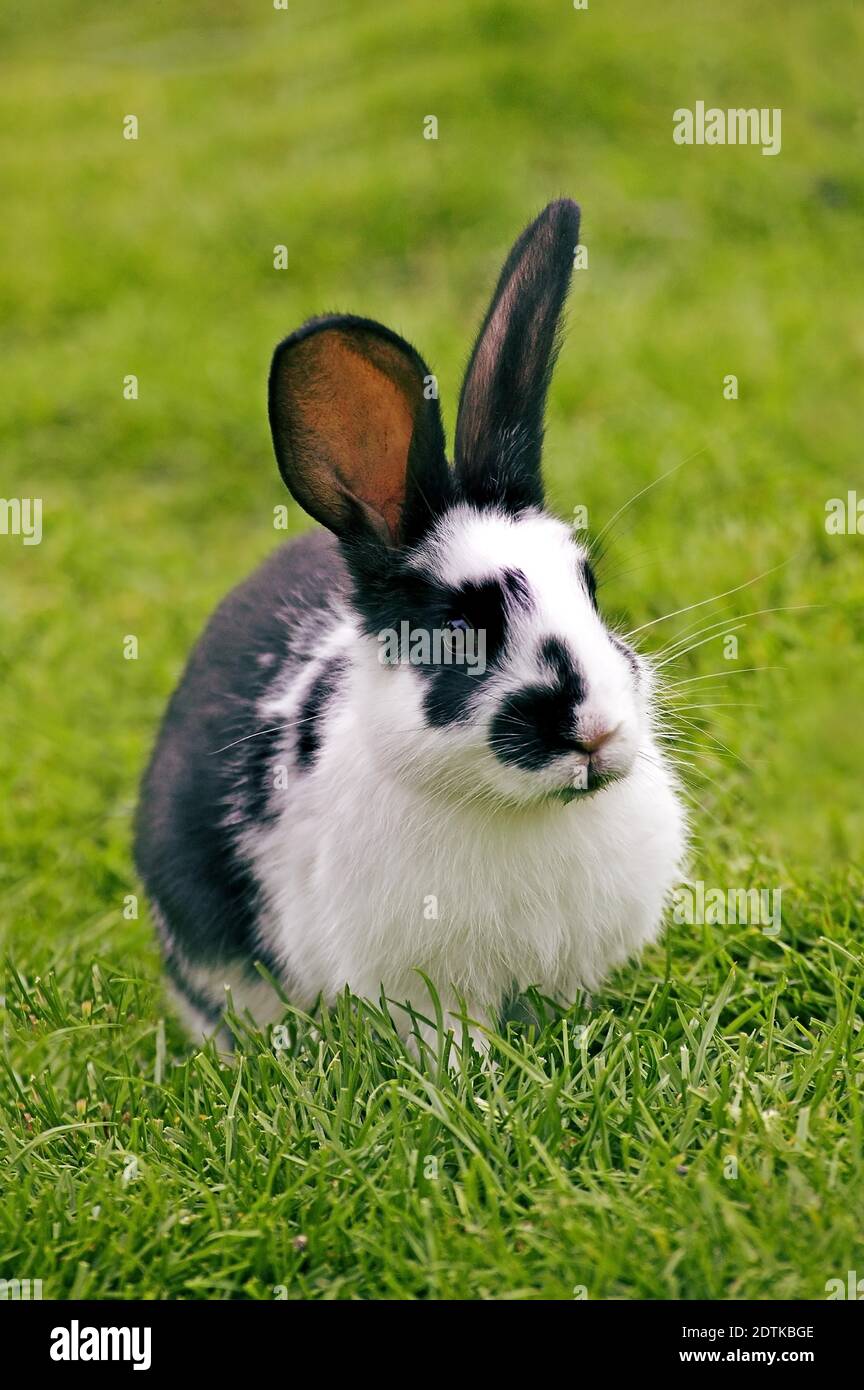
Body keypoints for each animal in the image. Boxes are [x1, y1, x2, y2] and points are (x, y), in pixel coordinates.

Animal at [134, 198, 687, 1055]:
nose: (594, 732)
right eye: (457, 631)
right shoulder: (424, 992)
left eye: (589, 587)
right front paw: (478, 1079)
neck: (520, 811)